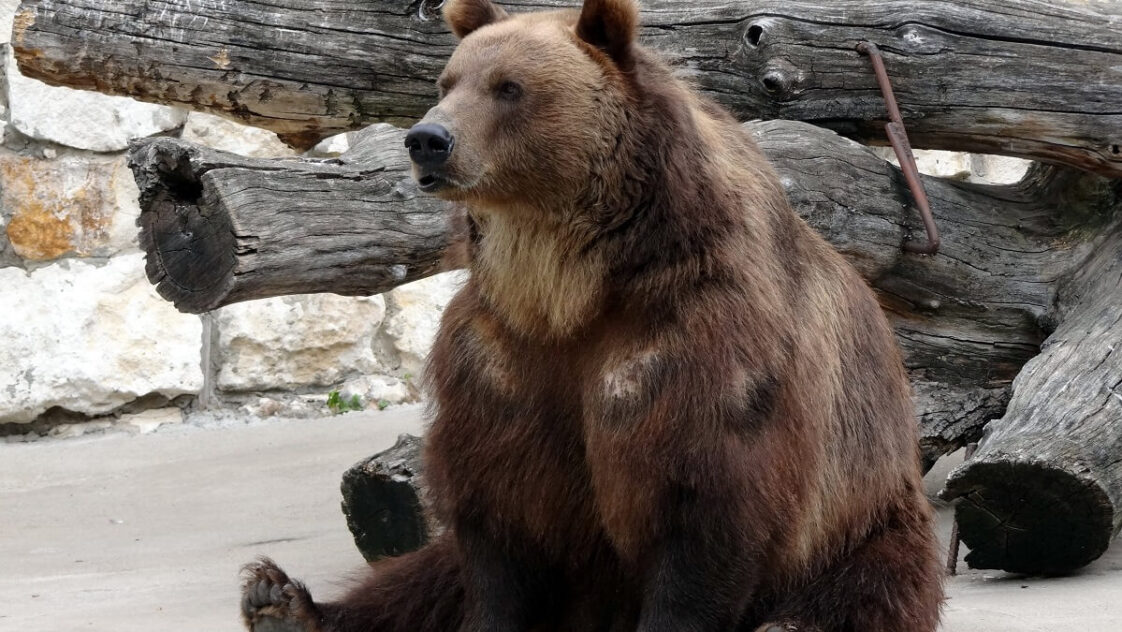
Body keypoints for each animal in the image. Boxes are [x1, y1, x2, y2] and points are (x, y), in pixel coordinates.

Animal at [240, 0, 944, 630]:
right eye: (447, 82)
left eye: (509, 87)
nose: (427, 140)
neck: (568, 287)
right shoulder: (501, 355)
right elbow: (496, 524)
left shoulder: (700, 343)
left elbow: (700, 506)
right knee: (421, 576)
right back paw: (281, 603)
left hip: (866, 518)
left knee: (858, 593)